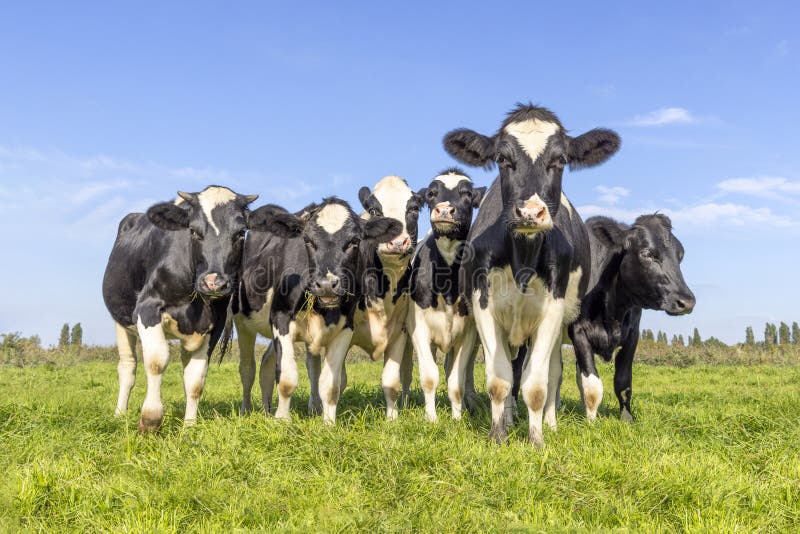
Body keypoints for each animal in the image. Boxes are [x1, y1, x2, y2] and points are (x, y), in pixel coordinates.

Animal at [102, 185, 259, 432]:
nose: (214, 283)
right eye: (193, 231)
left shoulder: (214, 324)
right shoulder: (147, 309)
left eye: (240, 233)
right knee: (127, 367)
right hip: (121, 320)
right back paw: (119, 414)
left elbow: (195, 379)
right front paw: (150, 420)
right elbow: (157, 361)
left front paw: (189, 426)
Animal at [235, 197, 401, 423]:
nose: (326, 284)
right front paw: (283, 420)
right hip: (242, 322)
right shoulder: (280, 317)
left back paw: (271, 410)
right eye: (308, 241)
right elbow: (287, 378)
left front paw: (328, 423)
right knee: (247, 369)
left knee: (274, 363)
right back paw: (246, 410)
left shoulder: (345, 327)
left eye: (354, 241)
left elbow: (330, 384)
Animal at [400, 168, 485, 421]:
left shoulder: (468, 333)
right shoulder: (418, 328)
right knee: (407, 371)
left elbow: (455, 380)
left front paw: (457, 417)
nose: (445, 210)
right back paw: (403, 403)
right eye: (431, 194)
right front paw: (431, 418)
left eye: (467, 193)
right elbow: (429, 376)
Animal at [443, 104, 621, 446]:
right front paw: (498, 435)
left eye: (560, 160)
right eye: (502, 159)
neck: (521, 260)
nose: (529, 212)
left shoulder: (553, 308)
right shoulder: (482, 305)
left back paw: (549, 422)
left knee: (552, 372)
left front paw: (536, 438)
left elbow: (537, 383)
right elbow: (500, 379)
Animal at [566, 214, 695, 422]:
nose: (687, 302)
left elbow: (623, 383)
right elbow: (593, 386)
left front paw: (627, 420)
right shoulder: (578, 331)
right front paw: (591, 423)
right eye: (647, 253)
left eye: (680, 255)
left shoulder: (632, 335)